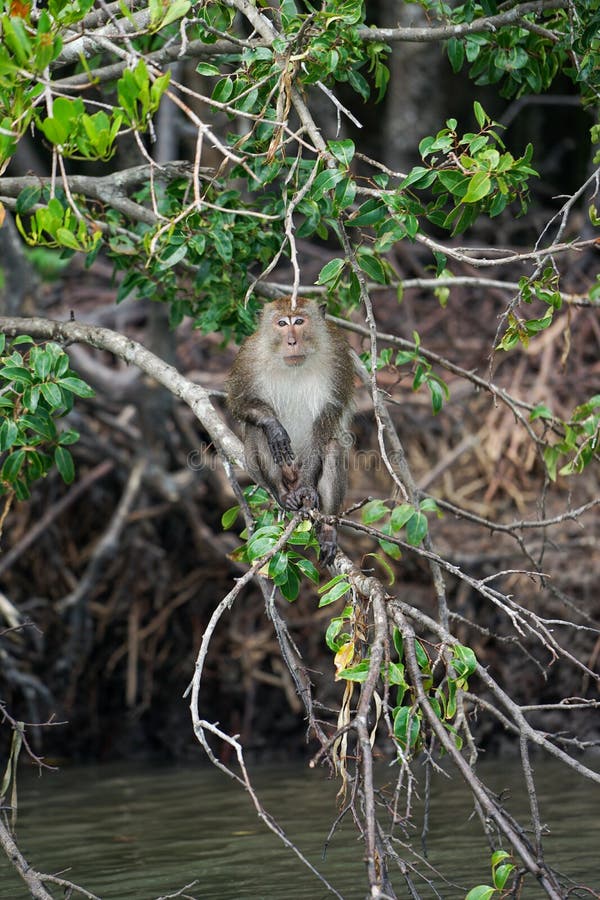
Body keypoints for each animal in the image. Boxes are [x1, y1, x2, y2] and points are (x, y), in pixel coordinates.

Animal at [226, 298, 354, 565]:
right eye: (282, 324)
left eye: (299, 321)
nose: (292, 341)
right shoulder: (249, 356)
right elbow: (237, 401)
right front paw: (274, 428)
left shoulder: (338, 359)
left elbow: (326, 423)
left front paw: (307, 488)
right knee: (256, 430)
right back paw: (282, 492)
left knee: (333, 446)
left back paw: (328, 526)